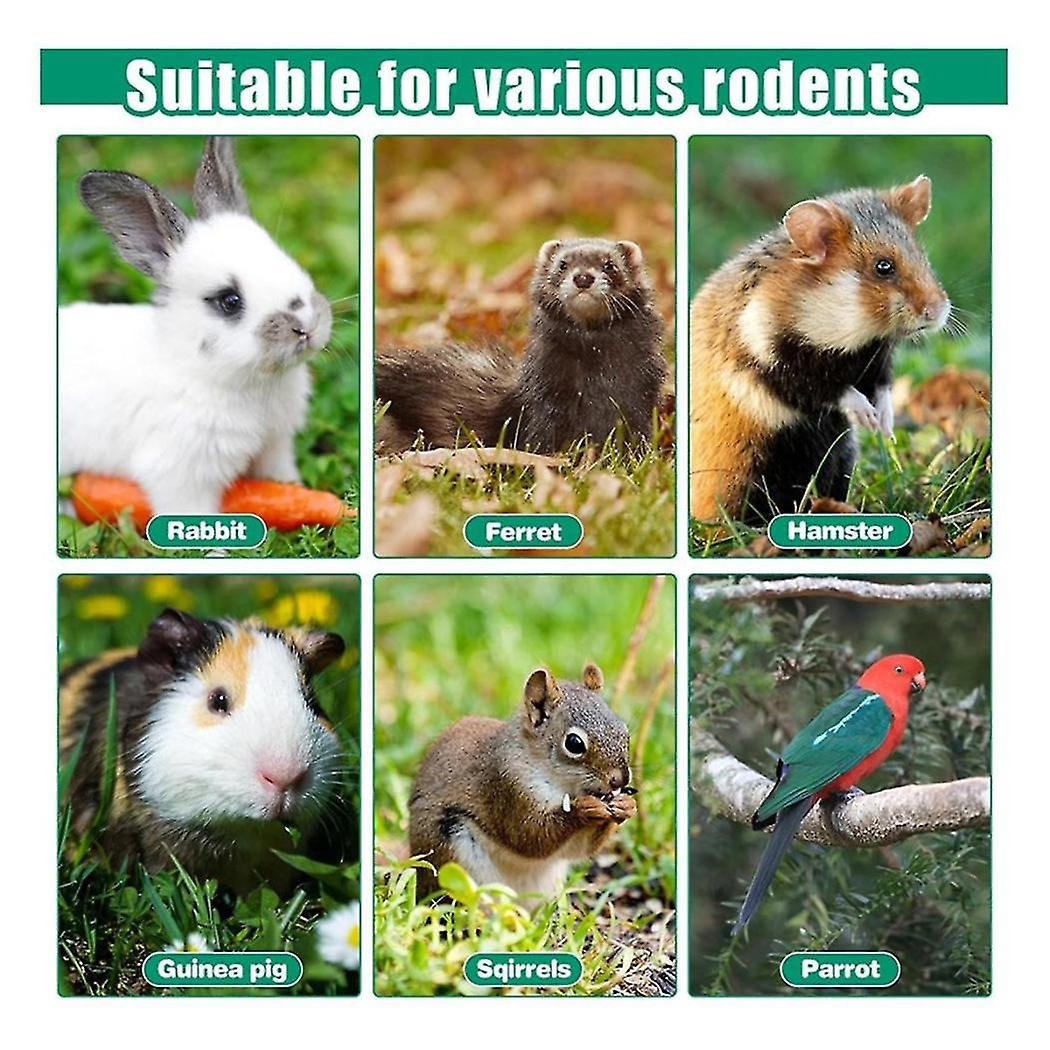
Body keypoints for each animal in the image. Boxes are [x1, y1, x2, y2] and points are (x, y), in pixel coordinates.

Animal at [59, 137, 333, 516]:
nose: (306, 325)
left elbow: (279, 476)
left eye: (289, 262)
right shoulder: (182, 475)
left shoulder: (275, 446)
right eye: (229, 300)